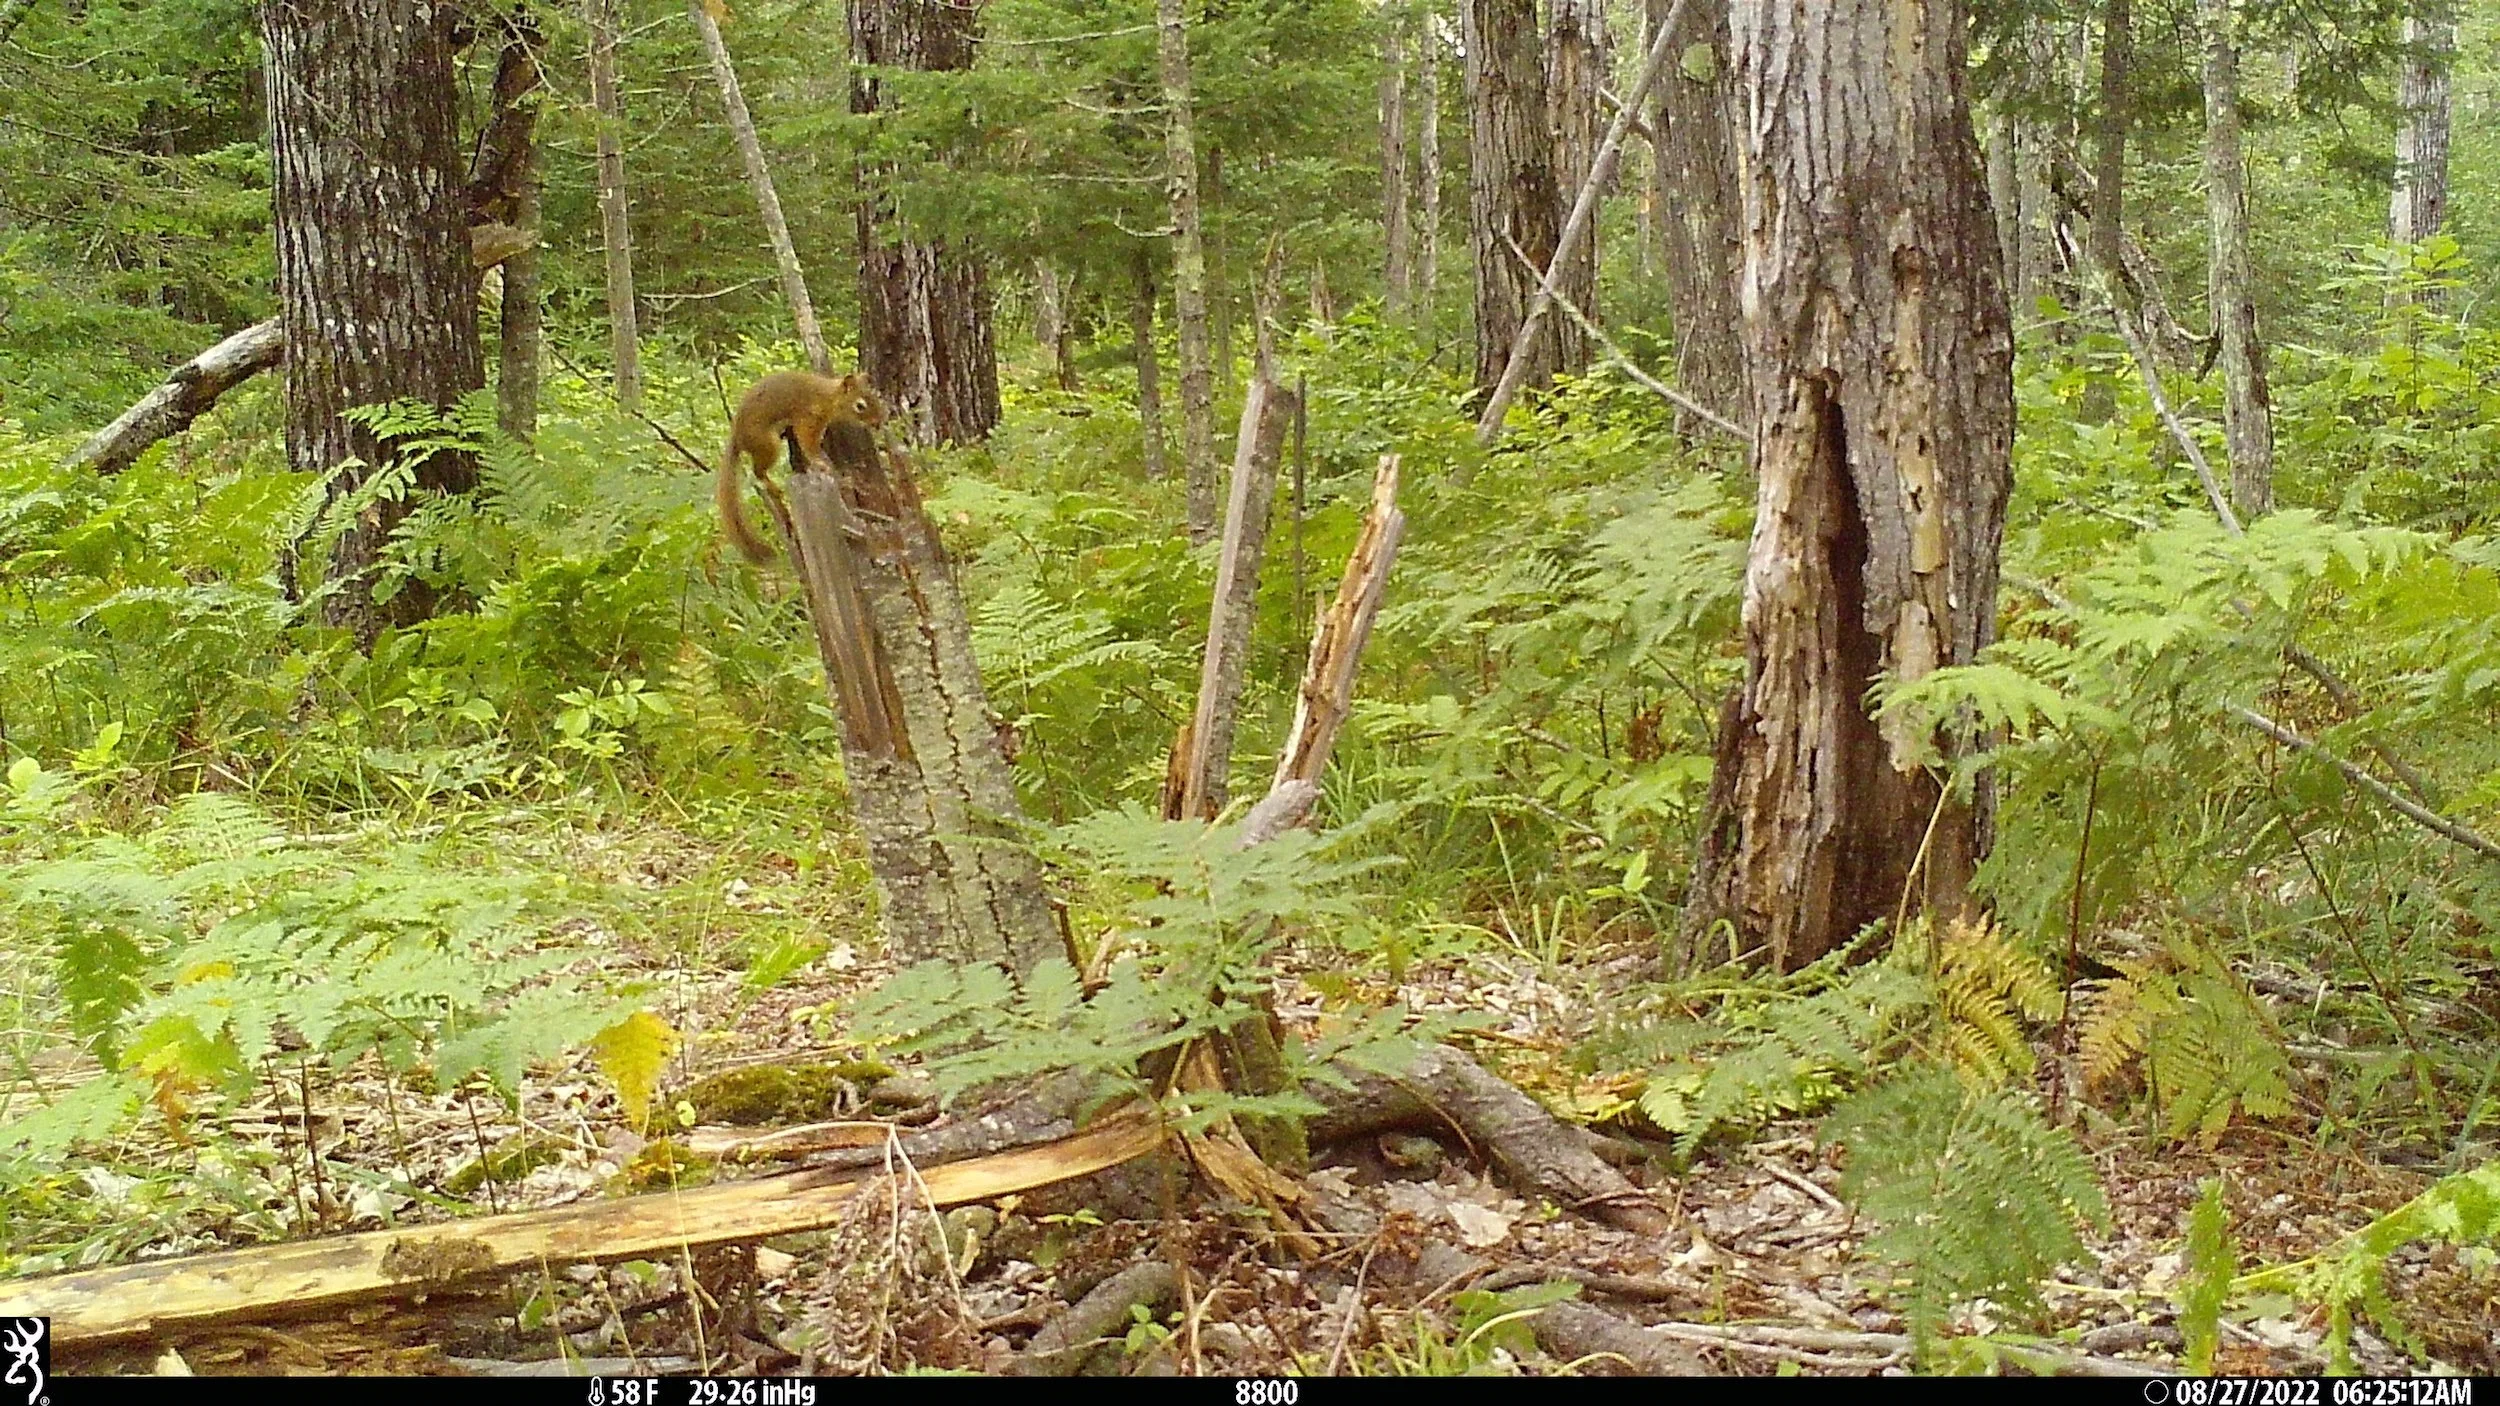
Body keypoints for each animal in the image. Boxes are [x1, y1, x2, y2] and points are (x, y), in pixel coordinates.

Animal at [715, 370, 890, 563]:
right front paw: (826, 466)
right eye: (860, 405)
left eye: (876, 397)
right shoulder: (807, 420)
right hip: (768, 445)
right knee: (758, 471)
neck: (828, 396)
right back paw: (774, 488)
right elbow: (810, 447)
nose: (878, 422)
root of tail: (736, 436)